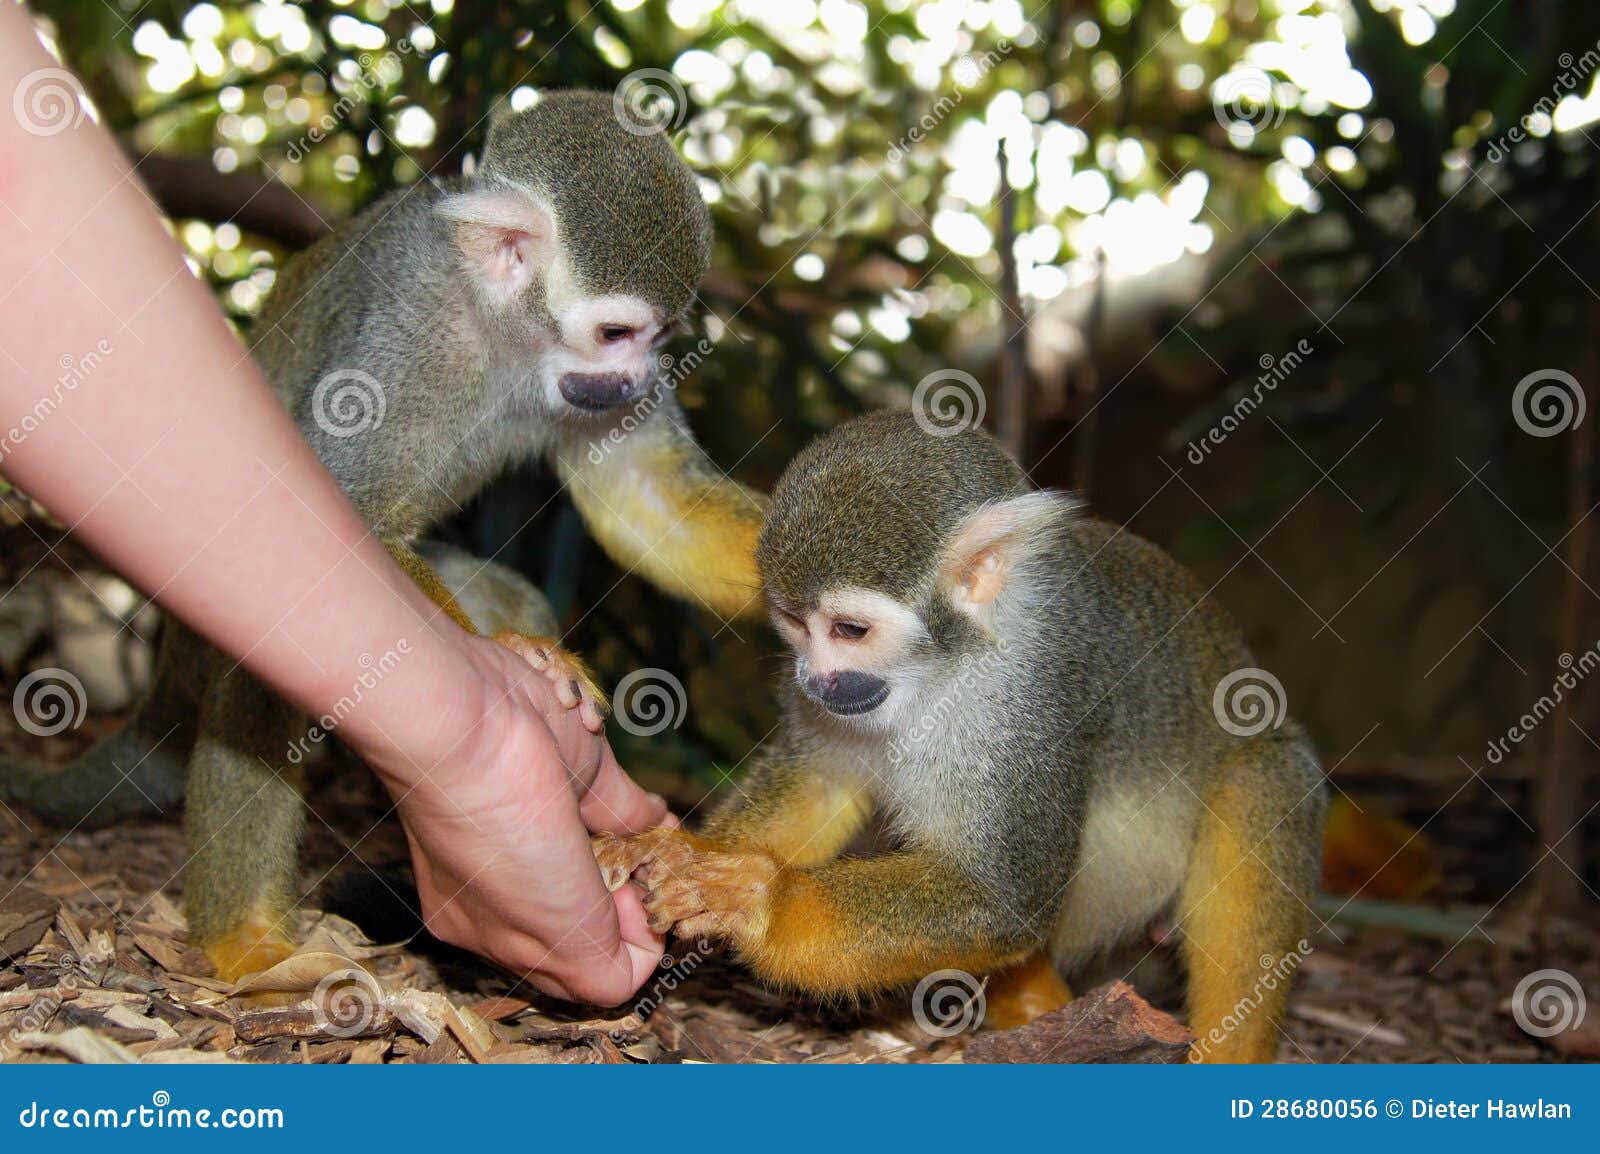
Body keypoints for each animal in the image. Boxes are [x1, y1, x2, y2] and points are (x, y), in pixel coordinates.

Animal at [594, 409, 1325, 1063]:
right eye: (795, 625)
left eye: (850, 631)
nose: (815, 679)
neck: (942, 665)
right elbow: (821, 782)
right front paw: (674, 849)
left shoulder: (1025, 694)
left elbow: (1005, 898)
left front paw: (759, 900)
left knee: (1260, 777)